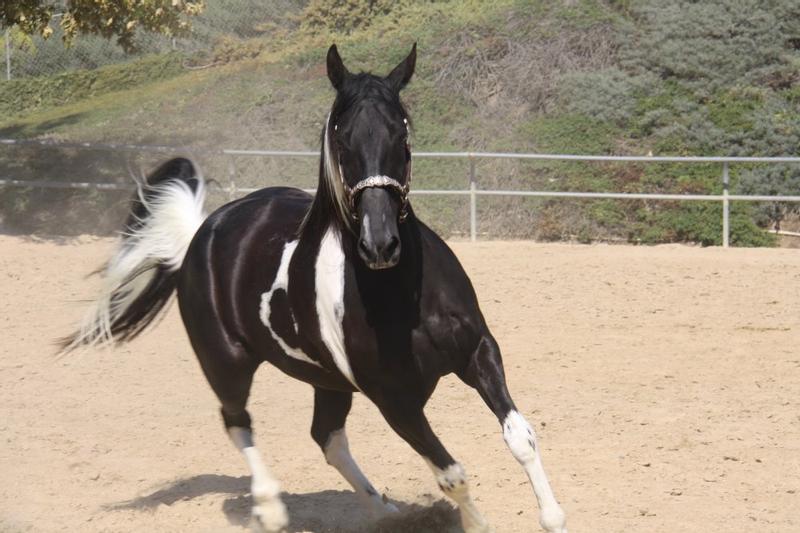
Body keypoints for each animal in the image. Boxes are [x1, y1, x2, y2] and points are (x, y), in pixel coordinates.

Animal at [62, 44, 567, 533]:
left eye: (401, 135)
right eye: (342, 140)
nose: (379, 243)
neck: (406, 297)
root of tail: (201, 234)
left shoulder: (478, 352)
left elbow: (520, 438)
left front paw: (553, 518)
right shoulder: (394, 401)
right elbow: (451, 473)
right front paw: (475, 522)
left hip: (327, 380)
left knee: (326, 438)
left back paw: (386, 512)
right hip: (226, 362)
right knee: (238, 422)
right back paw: (271, 509)